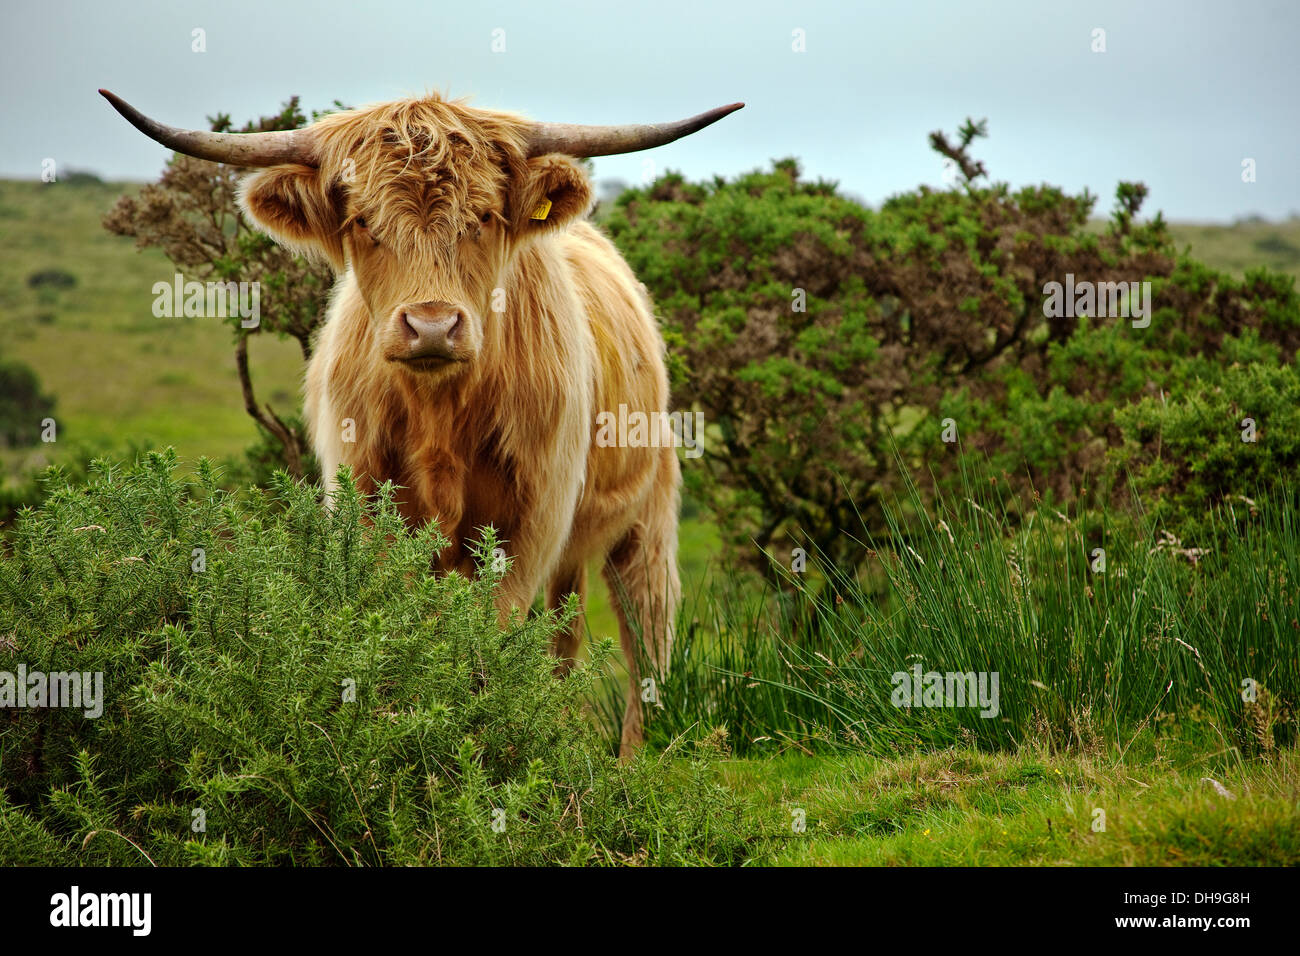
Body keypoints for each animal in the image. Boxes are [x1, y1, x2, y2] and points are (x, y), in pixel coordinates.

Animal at [101, 88, 742, 755]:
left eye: (483, 217)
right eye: (363, 223)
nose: (432, 326)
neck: (440, 416)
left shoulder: (529, 522)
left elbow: (494, 639)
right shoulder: (368, 510)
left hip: (648, 510)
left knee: (646, 631)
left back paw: (632, 761)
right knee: (567, 634)